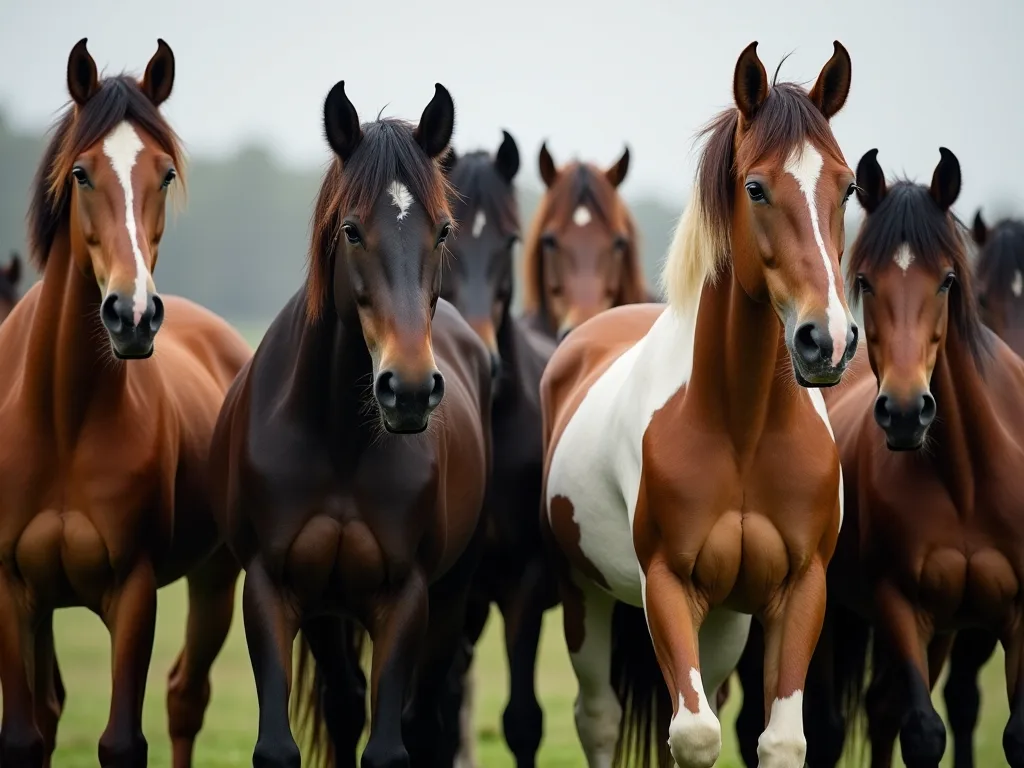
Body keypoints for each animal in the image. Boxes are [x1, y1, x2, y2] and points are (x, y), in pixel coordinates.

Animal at [0, 39, 250, 768]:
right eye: (82, 174)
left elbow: (121, 741)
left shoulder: (134, 591)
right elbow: (27, 733)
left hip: (217, 578)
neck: (63, 417)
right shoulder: (13, 592)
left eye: (164, 176)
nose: (133, 315)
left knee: (185, 699)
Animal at [207, 80, 493, 768]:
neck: (338, 440)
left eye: (443, 230)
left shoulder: (407, 597)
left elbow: (390, 745)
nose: (408, 390)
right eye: (351, 230)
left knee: (426, 719)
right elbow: (281, 745)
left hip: (451, 598)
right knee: (343, 704)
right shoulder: (272, 588)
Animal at [540, 40, 857, 768]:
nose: (827, 339)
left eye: (849, 186)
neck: (743, 426)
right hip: (584, 595)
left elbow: (779, 740)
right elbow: (695, 734)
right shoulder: (666, 585)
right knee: (598, 718)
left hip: (725, 623)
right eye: (755, 187)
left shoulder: (802, 588)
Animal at [805, 147, 1024, 768]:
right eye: (864, 282)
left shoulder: (1013, 617)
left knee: (883, 710)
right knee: (834, 725)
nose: (905, 412)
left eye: (947, 280)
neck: (967, 479)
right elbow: (923, 732)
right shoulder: (900, 605)